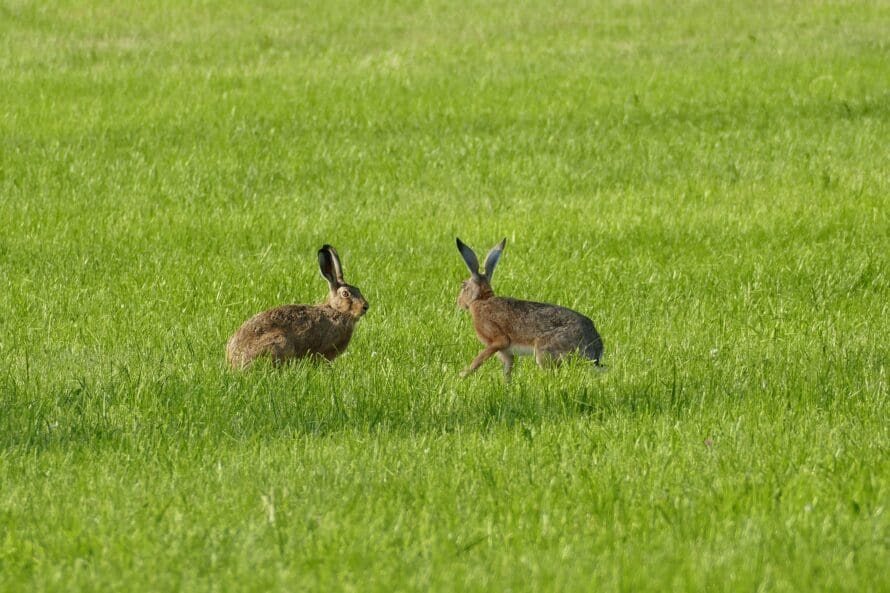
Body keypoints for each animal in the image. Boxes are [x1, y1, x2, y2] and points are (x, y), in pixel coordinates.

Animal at [226, 245, 369, 368]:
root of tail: (234, 362)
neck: (336, 310)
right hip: (279, 343)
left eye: (358, 290)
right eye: (345, 294)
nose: (366, 306)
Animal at [455, 238, 603, 381]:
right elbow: (508, 368)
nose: (458, 302)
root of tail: (595, 348)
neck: (481, 300)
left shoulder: (497, 339)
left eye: (463, 285)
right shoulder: (506, 352)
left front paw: (462, 375)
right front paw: (507, 385)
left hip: (544, 351)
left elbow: (479, 359)